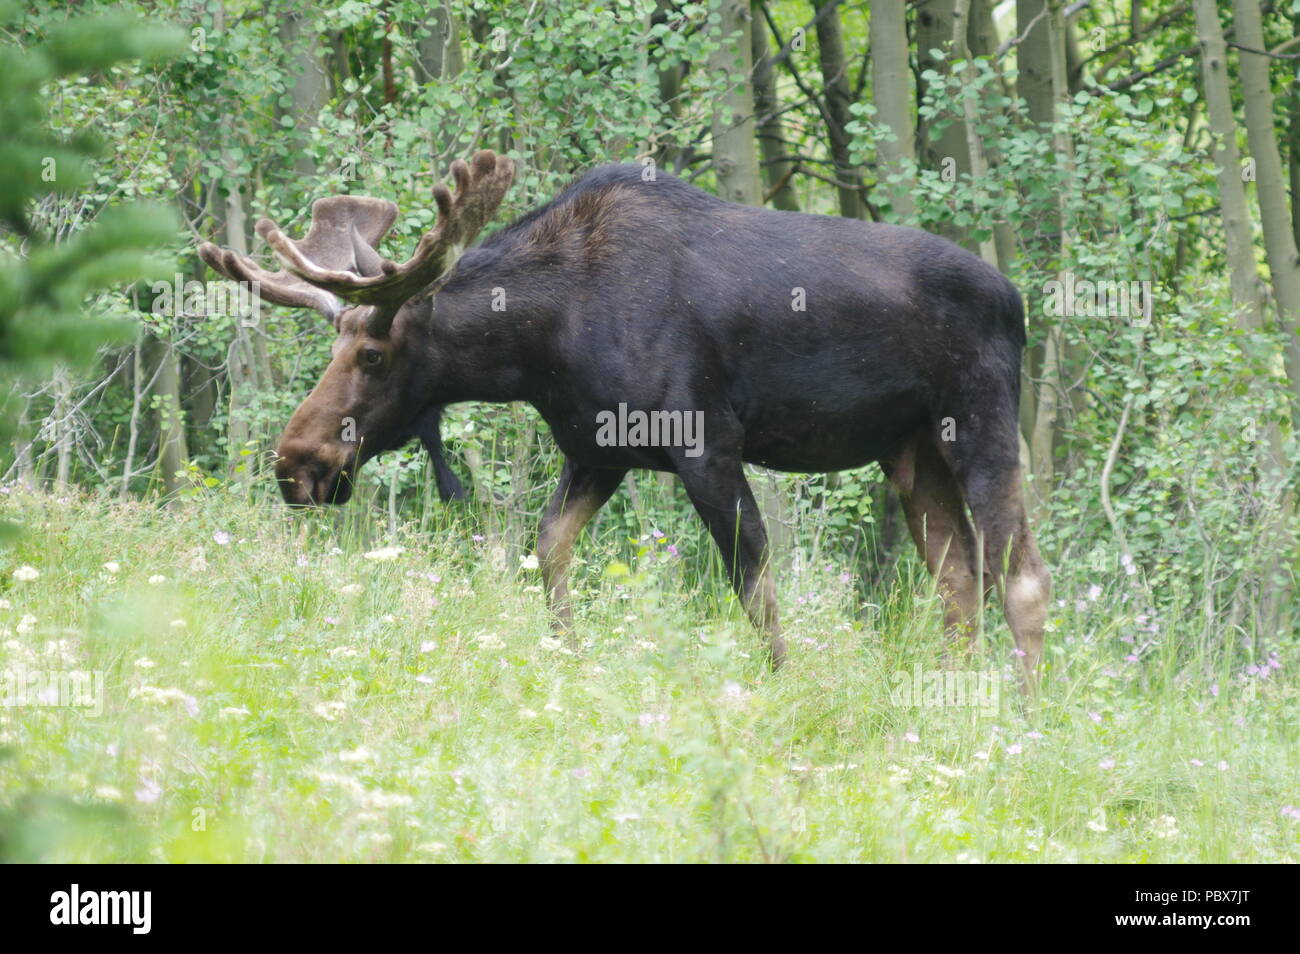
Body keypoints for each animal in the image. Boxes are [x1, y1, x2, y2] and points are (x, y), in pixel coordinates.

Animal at [198, 150, 1051, 679]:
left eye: (372, 355)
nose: (296, 463)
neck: (541, 341)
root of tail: (1017, 303)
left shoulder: (707, 443)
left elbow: (752, 582)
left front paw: (785, 686)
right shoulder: (596, 449)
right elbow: (549, 550)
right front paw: (569, 656)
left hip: (981, 423)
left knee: (1022, 579)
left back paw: (1022, 720)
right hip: (911, 449)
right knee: (958, 582)